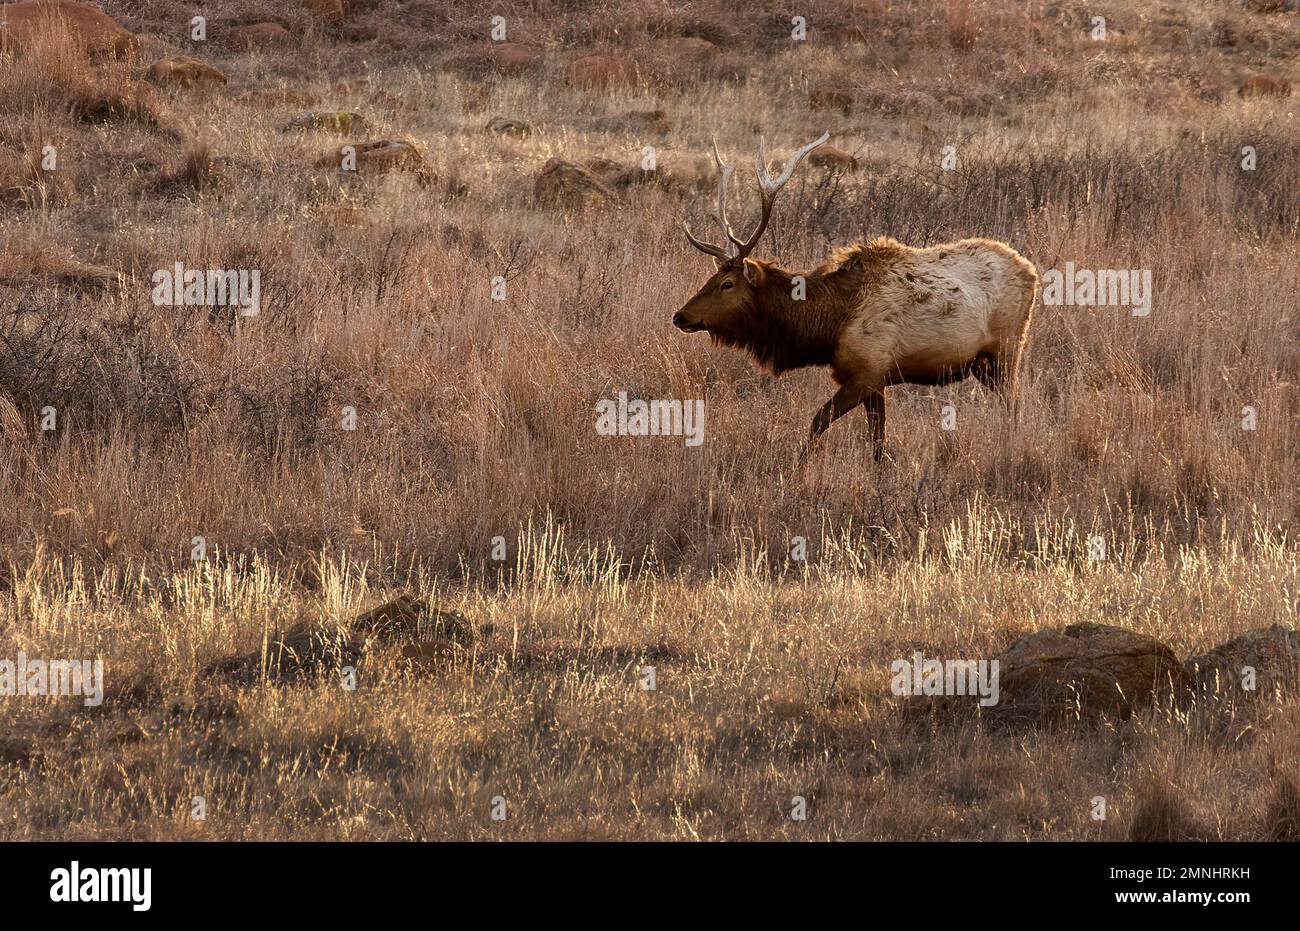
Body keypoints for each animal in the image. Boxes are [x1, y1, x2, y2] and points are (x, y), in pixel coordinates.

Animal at [671, 132, 1039, 463]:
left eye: (727, 284)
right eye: (712, 277)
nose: (679, 316)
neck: (828, 326)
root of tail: (1031, 271)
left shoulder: (867, 372)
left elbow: (818, 421)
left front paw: (801, 469)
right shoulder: (876, 380)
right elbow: (878, 441)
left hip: (1008, 349)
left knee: (1015, 406)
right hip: (982, 364)